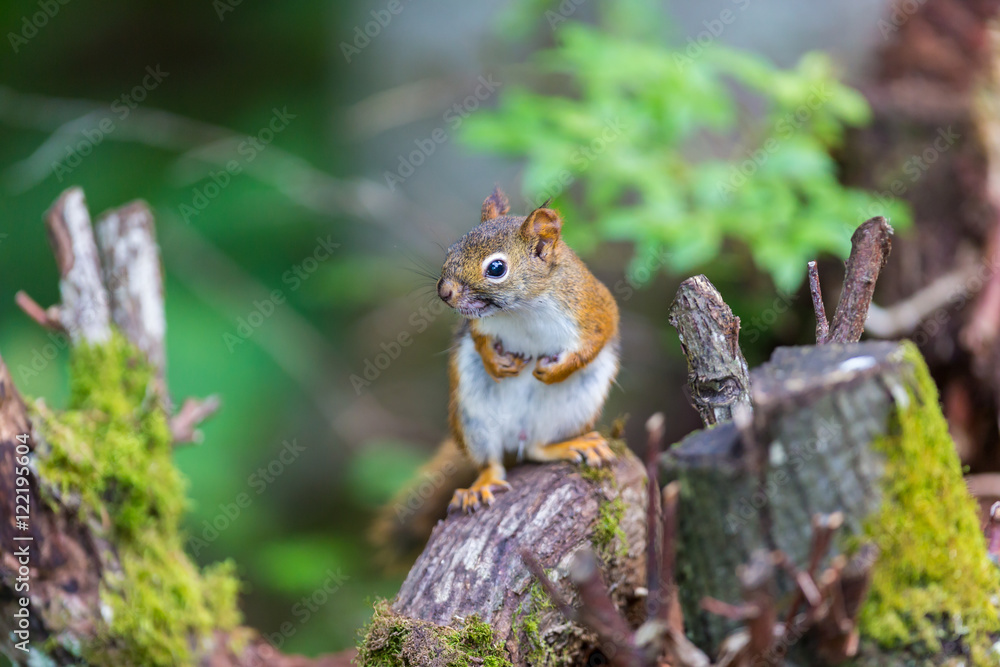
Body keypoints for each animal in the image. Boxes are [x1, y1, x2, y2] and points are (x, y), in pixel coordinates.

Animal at [372, 186, 619, 562]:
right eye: (451, 250)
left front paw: (554, 371)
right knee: (493, 461)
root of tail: (518, 436)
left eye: (497, 268)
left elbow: (598, 337)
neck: (524, 309)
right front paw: (497, 363)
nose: (444, 291)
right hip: (473, 416)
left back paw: (571, 444)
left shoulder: (593, 306)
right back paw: (482, 484)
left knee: (537, 449)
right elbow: (479, 339)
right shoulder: (479, 326)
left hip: (576, 403)